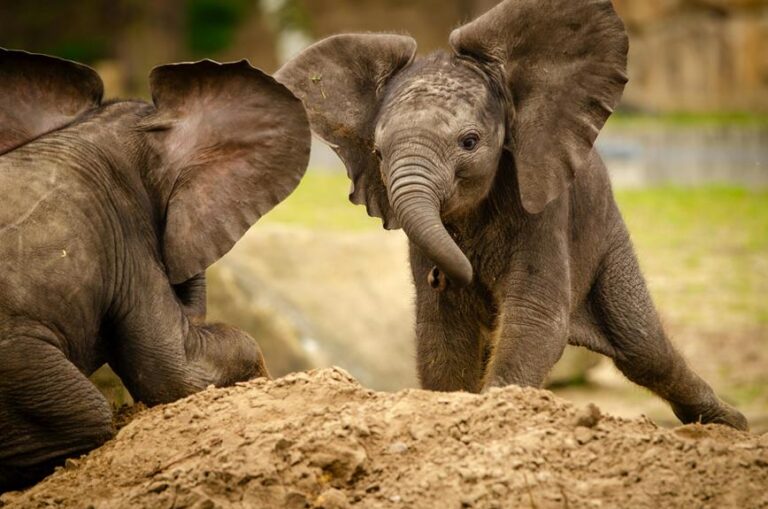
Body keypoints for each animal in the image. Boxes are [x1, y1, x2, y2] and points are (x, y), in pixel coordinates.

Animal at [276, 0, 747, 430]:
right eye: (377, 152)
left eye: (469, 142)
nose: (447, 273)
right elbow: (442, 330)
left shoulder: (544, 204)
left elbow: (535, 313)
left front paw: (497, 404)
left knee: (643, 348)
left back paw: (731, 424)